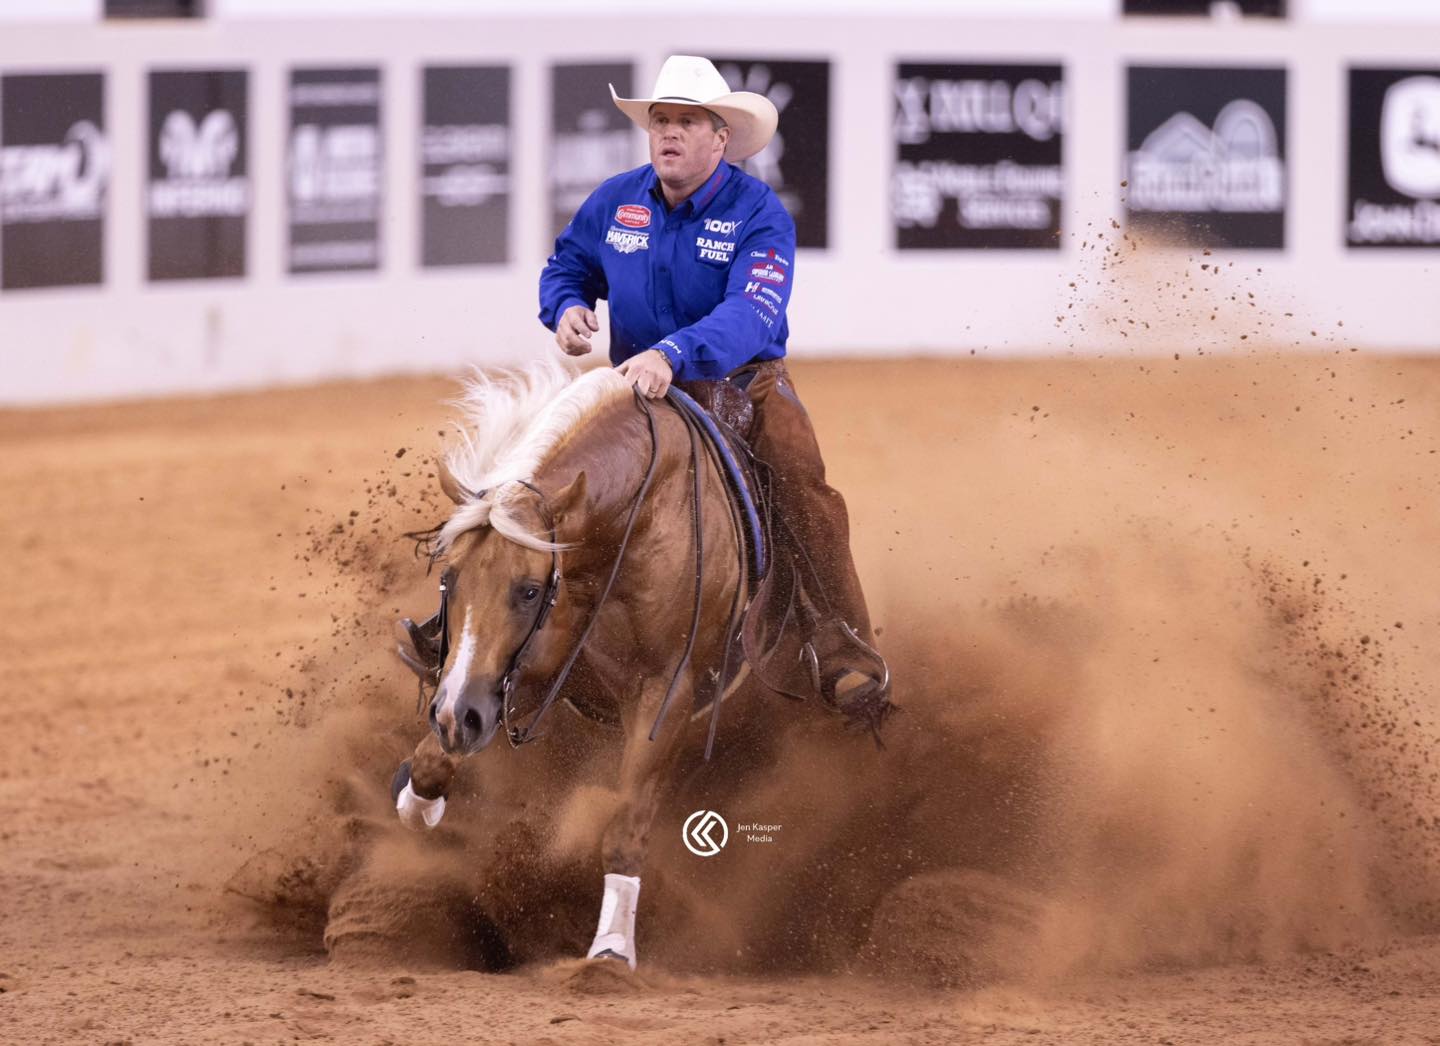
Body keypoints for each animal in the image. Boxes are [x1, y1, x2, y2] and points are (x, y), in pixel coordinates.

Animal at [388, 359, 886, 970]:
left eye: (529, 590)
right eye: (449, 578)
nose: (458, 716)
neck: (628, 526)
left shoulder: (665, 694)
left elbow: (625, 825)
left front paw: (611, 948)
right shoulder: (524, 673)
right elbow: (432, 760)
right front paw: (415, 800)